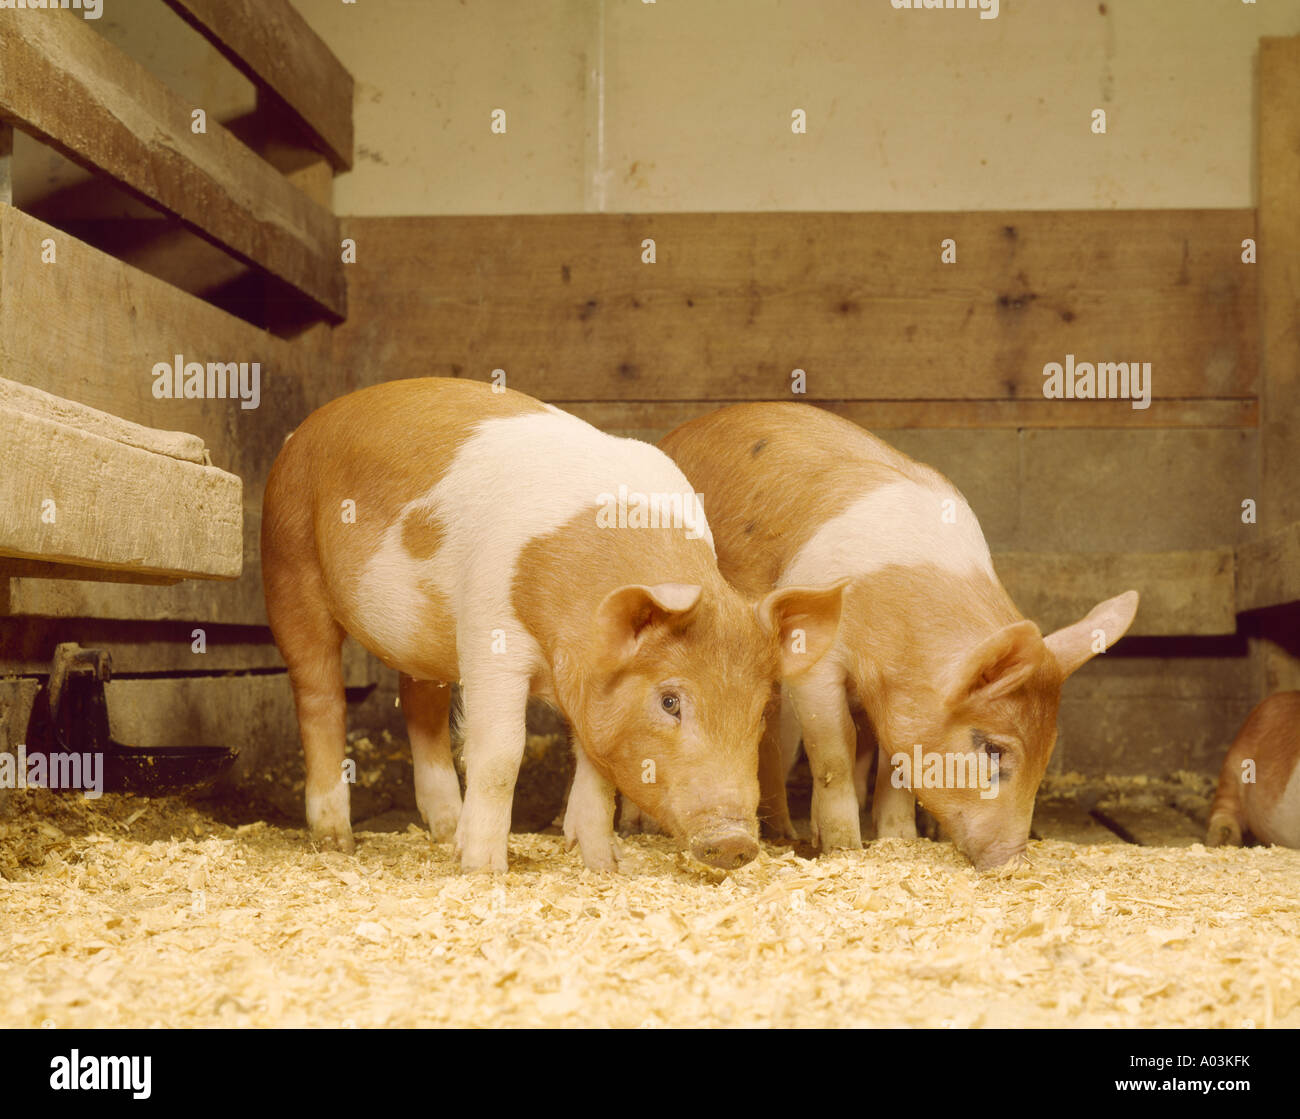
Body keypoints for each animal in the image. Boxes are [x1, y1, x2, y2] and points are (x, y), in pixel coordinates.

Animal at [261, 379, 844, 873]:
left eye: (762, 709)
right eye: (670, 701)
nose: (735, 843)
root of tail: (304, 428)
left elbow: (597, 771)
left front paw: (603, 866)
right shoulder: (488, 632)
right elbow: (501, 752)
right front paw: (482, 870)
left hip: (423, 637)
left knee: (422, 705)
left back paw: (443, 829)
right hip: (290, 562)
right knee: (319, 695)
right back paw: (336, 841)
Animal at [659, 402, 1139, 870]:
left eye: (1048, 751)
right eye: (993, 749)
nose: (1014, 862)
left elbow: (895, 763)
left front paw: (899, 840)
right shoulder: (815, 662)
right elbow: (834, 751)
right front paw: (844, 849)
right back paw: (784, 833)